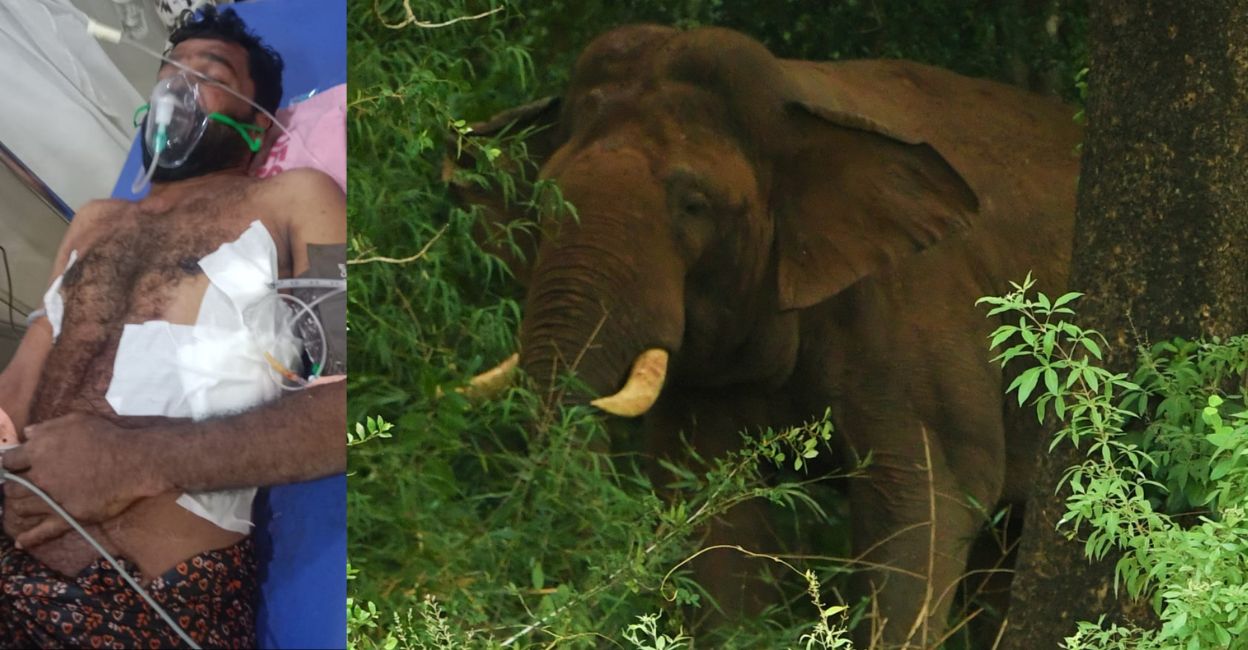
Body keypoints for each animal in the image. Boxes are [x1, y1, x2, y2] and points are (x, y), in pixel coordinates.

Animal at [446, 24, 1081, 647]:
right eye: (539, 200)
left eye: (695, 205)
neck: (798, 104)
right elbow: (711, 517)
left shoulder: (919, 312)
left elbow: (926, 502)